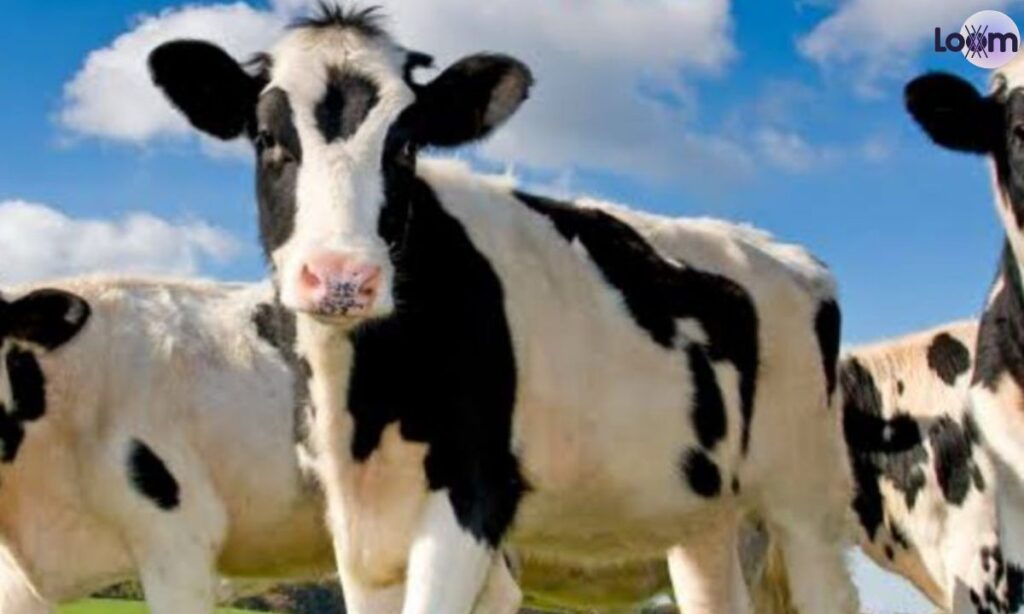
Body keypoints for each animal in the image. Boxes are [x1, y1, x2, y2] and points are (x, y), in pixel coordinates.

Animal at [149, 5, 859, 613]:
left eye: (406, 146)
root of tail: (785, 251)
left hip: (807, 498)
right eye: (267, 138)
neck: (372, 400)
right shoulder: (356, 520)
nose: (342, 277)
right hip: (705, 516)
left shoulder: (474, 492)